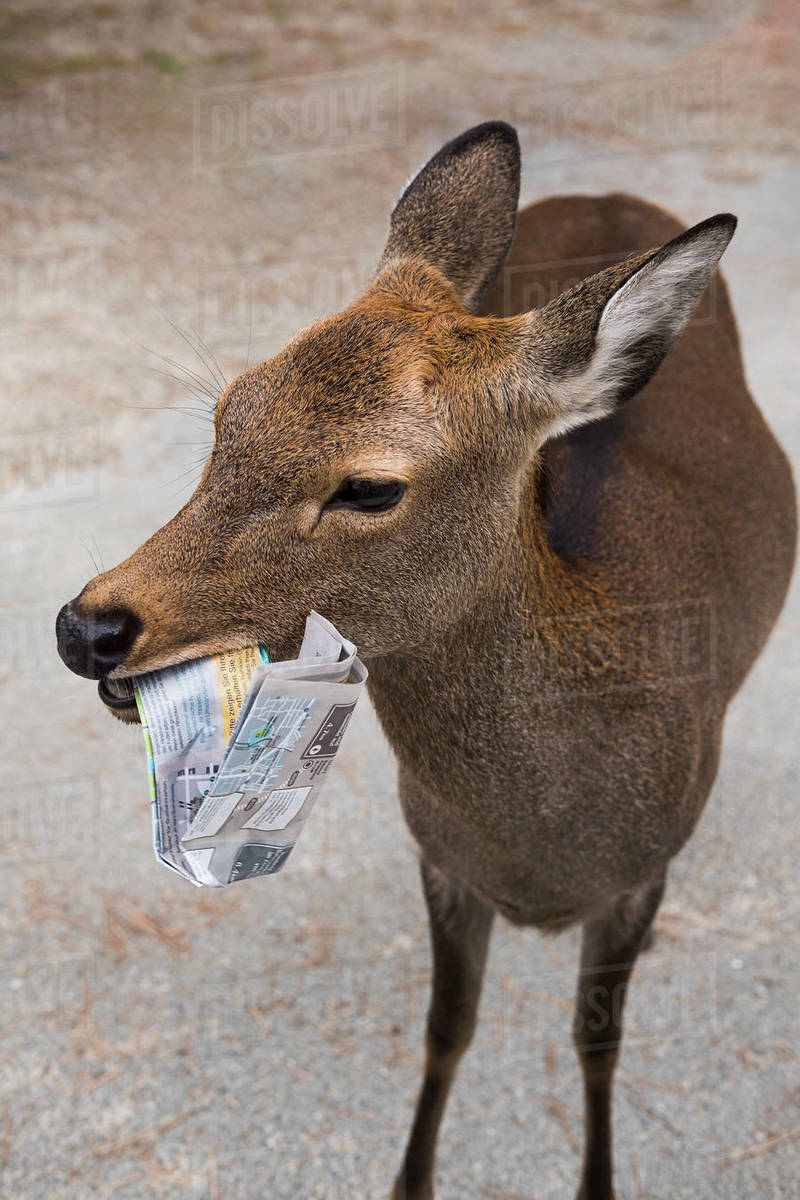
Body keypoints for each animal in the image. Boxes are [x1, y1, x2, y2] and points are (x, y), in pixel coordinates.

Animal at [56, 122, 796, 1198]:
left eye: (369, 486)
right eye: (228, 410)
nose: (87, 628)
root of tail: (609, 194)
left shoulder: (639, 872)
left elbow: (596, 1040)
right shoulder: (438, 856)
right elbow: (446, 1029)